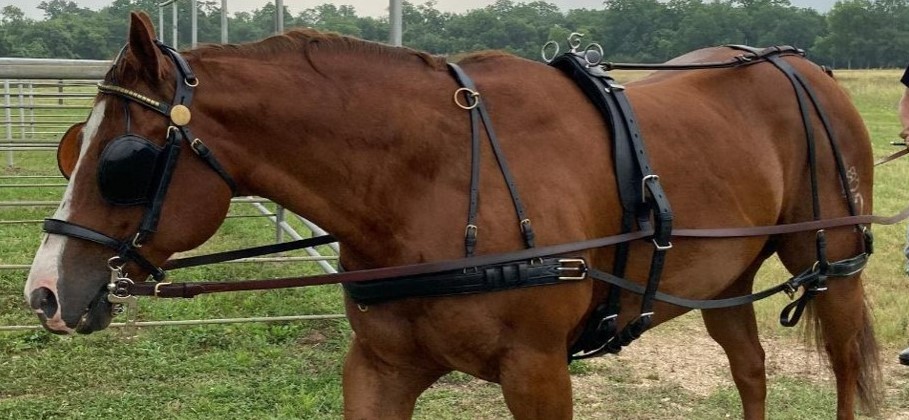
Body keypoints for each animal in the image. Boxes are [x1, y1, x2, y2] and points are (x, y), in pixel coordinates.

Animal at [24, 12, 879, 419]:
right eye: (74, 150)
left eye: (121, 163)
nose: (44, 292)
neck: (427, 185)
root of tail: (801, 65)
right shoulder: (379, 369)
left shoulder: (538, 374)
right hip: (723, 278)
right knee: (751, 370)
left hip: (831, 262)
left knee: (841, 368)